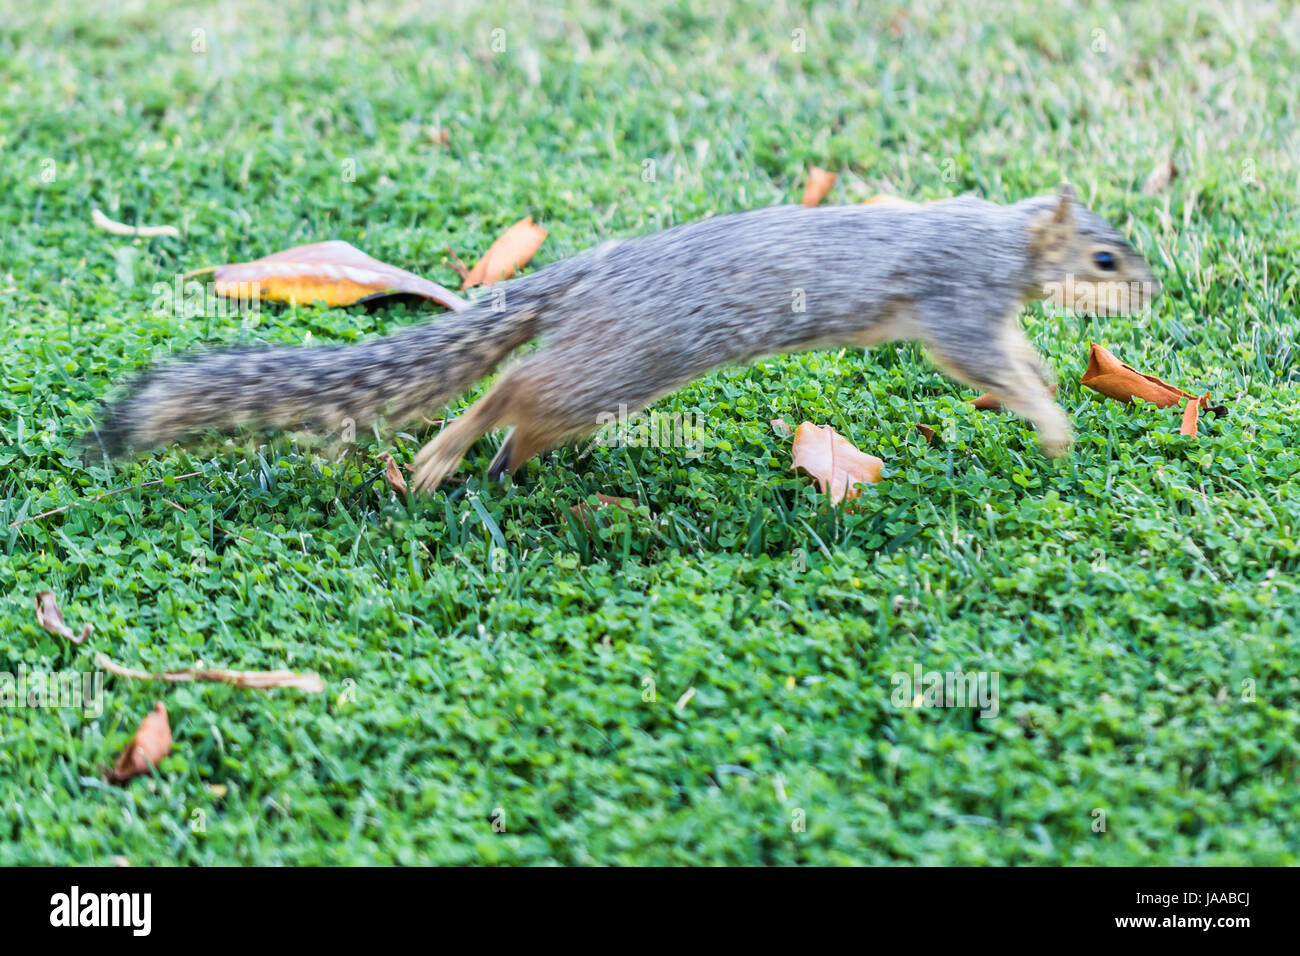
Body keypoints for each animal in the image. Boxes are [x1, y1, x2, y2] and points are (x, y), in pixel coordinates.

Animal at [90, 184, 1159, 492]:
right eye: (1106, 258)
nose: (1152, 292)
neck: (1002, 237)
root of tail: (587, 276)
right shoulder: (956, 303)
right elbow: (991, 366)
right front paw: (1056, 428)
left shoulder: (984, 313)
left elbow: (1014, 360)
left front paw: (1045, 394)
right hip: (619, 366)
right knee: (514, 392)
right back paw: (451, 459)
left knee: (517, 407)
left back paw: (478, 463)